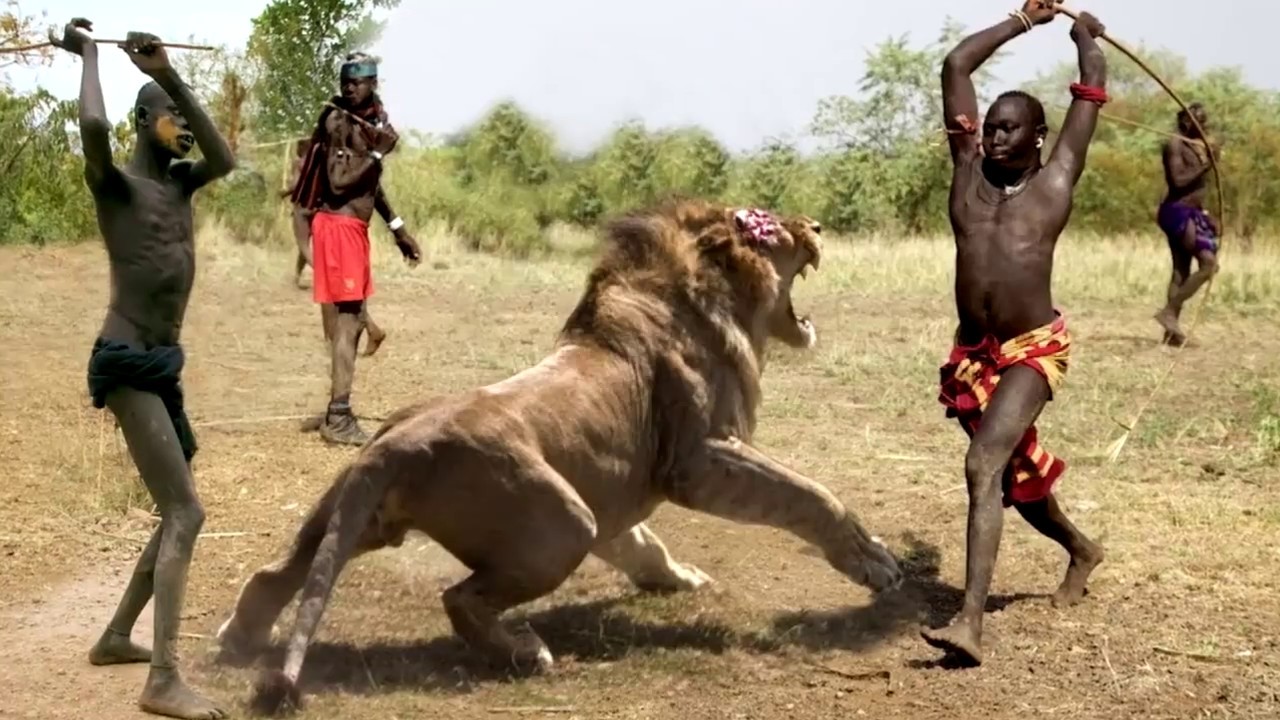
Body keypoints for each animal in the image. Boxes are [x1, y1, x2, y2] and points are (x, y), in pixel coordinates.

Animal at [217, 197, 903, 714]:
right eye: (773, 223)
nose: (817, 226)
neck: (713, 301)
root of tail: (390, 446)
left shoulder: (616, 493)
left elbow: (643, 544)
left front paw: (679, 578)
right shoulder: (697, 459)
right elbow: (811, 495)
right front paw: (876, 563)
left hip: (353, 517)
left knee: (273, 575)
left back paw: (235, 642)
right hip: (565, 522)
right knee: (459, 599)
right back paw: (526, 652)